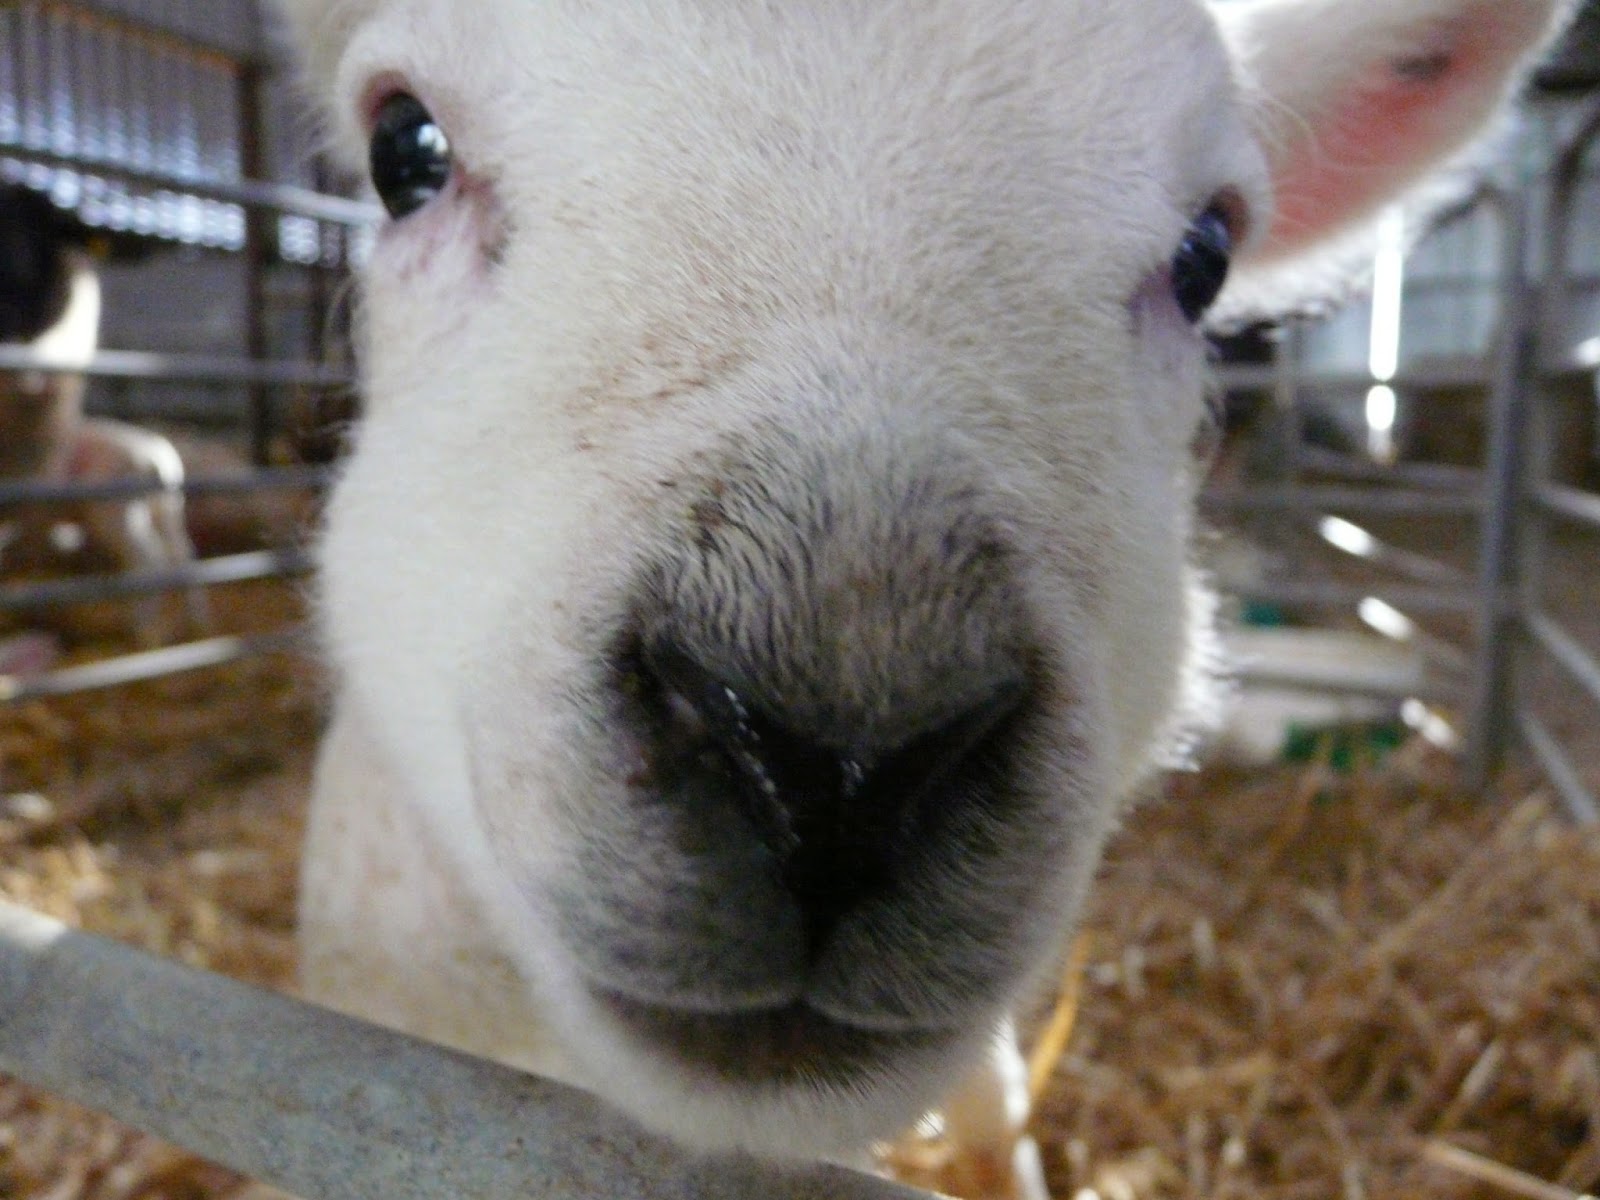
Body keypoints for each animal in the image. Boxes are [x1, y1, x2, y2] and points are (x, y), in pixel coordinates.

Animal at [0, 184, 208, 648]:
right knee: (182, 555)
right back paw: (191, 623)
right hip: (164, 510)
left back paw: (143, 631)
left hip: (117, 512)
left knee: (149, 562)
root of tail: (161, 461)